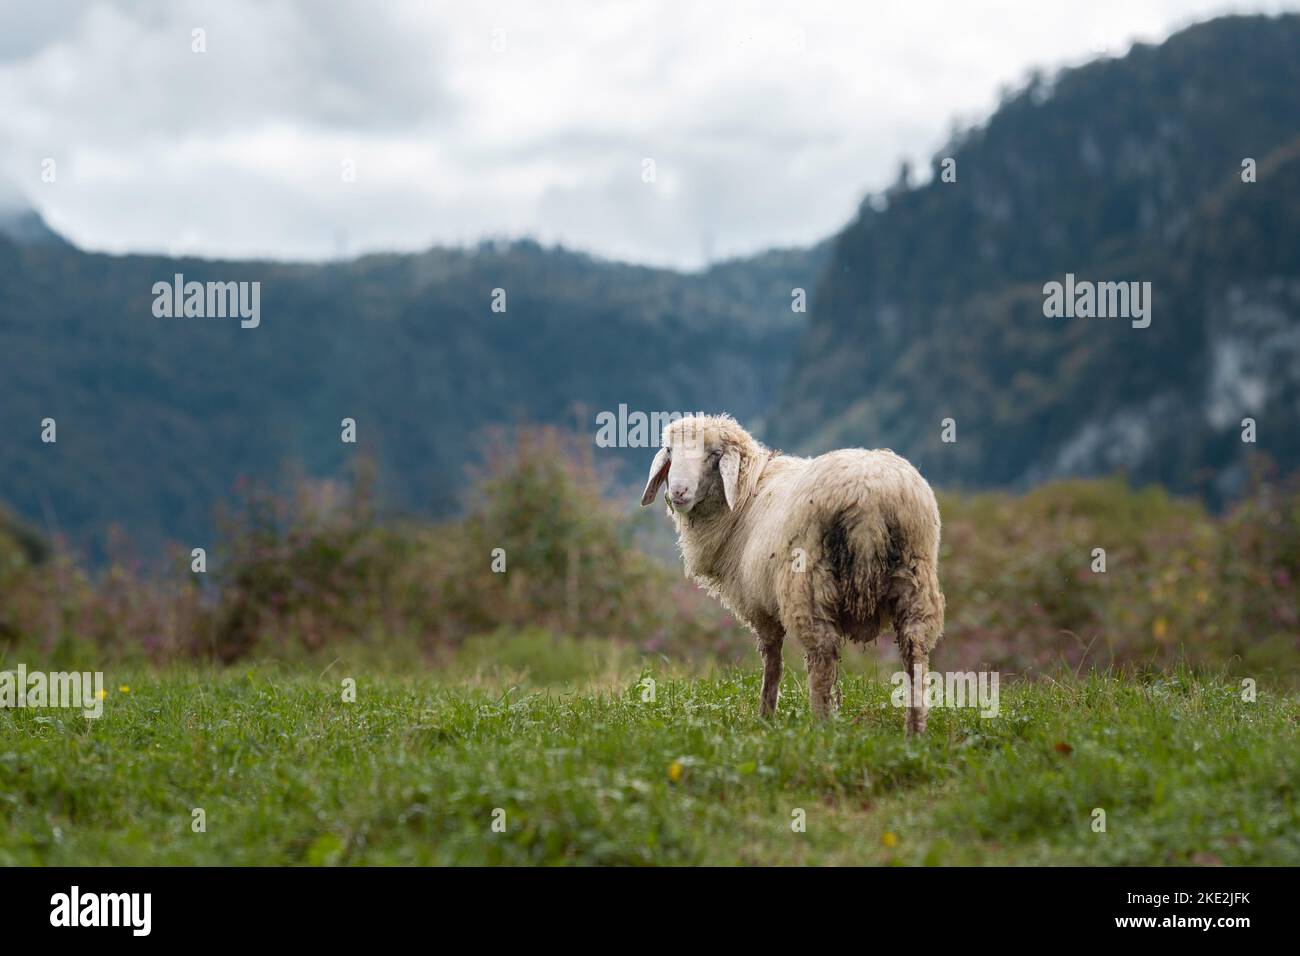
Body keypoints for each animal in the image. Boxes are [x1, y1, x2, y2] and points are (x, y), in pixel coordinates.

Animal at [640, 414, 944, 734]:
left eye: (714, 454)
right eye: (670, 451)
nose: (678, 493)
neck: (748, 492)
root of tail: (867, 499)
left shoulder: (761, 608)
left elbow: (773, 661)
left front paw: (765, 716)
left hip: (809, 585)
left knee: (822, 657)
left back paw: (822, 726)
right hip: (916, 579)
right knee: (915, 651)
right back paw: (914, 730)